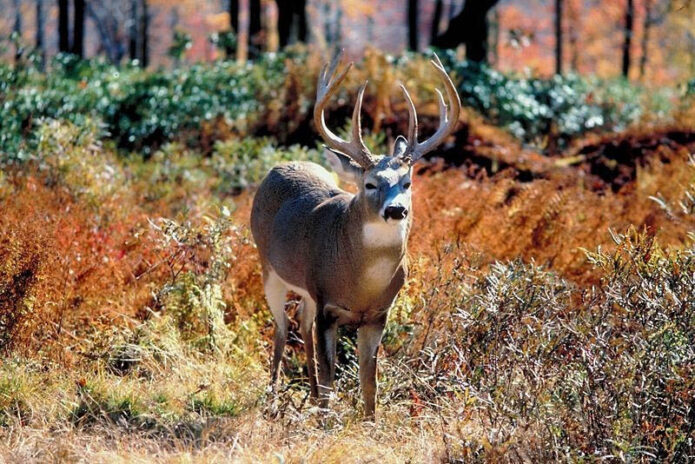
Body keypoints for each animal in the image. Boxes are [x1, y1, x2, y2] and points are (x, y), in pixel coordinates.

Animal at [250, 52, 461, 419]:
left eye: (407, 183)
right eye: (370, 184)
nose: (396, 210)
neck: (363, 283)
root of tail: (280, 166)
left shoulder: (377, 314)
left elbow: (369, 382)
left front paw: (370, 422)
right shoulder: (328, 305)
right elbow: (331, 377)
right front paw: (325, 420)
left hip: (306, 290)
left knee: (301, 325)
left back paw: (306, 395)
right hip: (268, 267)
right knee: (281, 329)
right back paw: (274, 401)